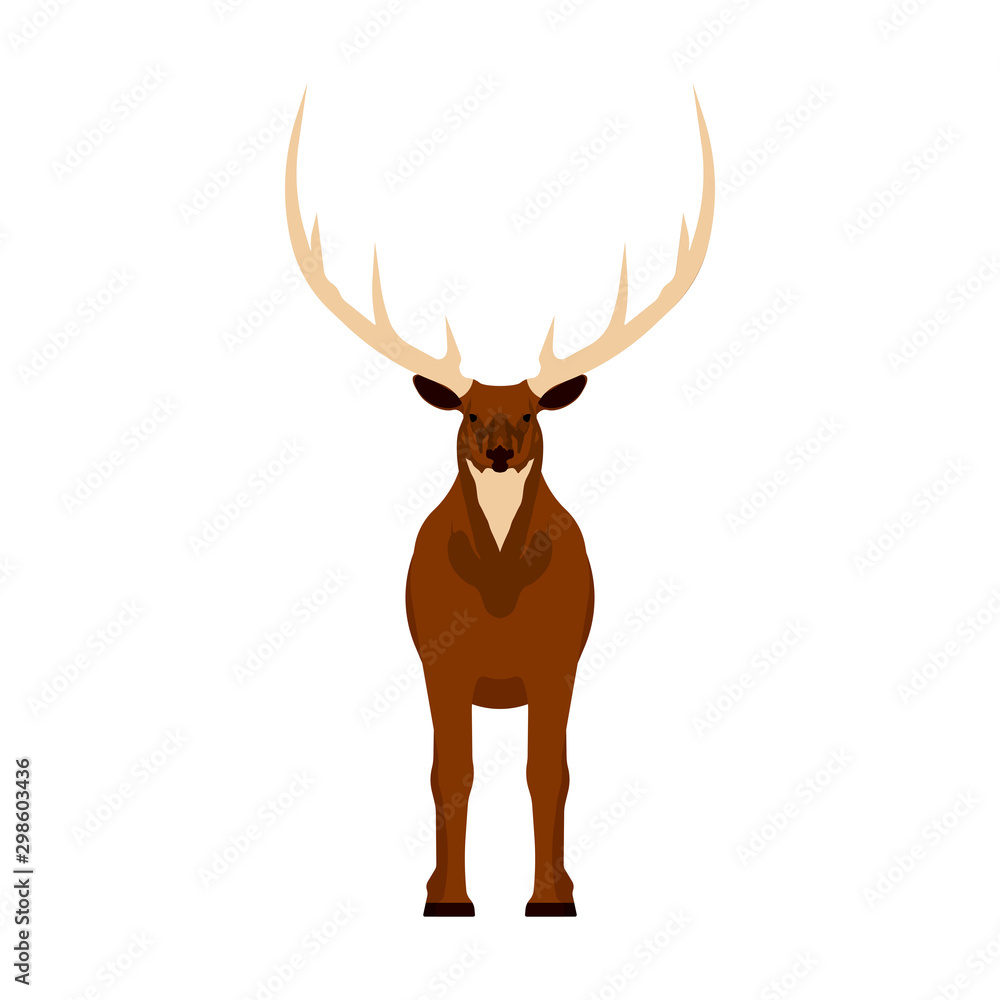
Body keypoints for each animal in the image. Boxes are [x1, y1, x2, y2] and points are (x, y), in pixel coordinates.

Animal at [285, 86, 714, 917]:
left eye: (531, 412)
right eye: (467, 412)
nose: (499, 450)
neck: (500, 590)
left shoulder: (558, 659)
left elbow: (550, 773)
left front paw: (553, 897)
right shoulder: (439, 660)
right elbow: (449, 774)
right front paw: (446, 898)